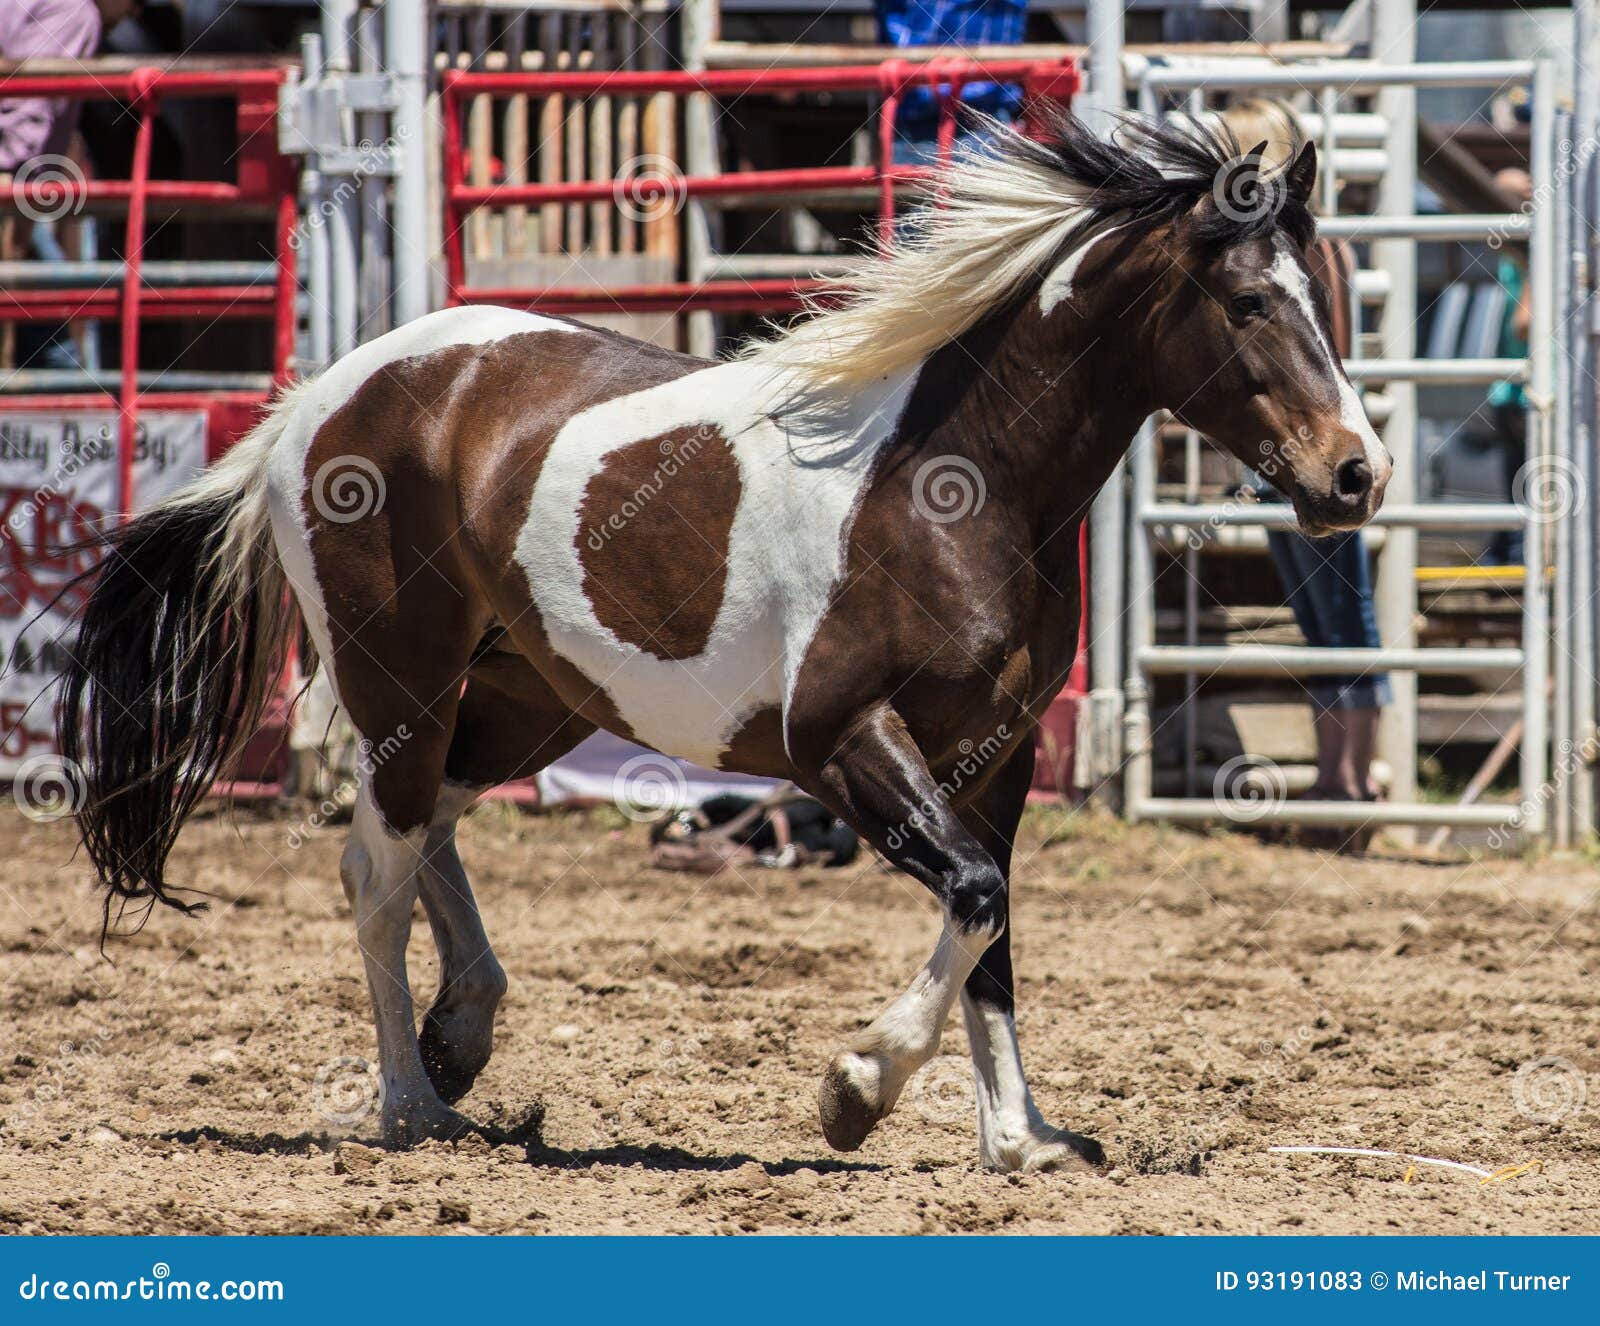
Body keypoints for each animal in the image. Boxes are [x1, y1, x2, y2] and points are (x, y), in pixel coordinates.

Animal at [60, 113, 1390, 1172]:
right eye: (1250, 302)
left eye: (1330, 302)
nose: (1355, 476)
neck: (952, 486)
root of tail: (315, 402)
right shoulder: (840, 739)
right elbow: (970, 894)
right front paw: (856, 1091)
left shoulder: (995, 758)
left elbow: (995, 923)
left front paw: (1021, 1141)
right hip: (403, 681)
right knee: (373, 873)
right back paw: (409, 1106)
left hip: (526, 699)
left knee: (430, 825)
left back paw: (461, 1034)